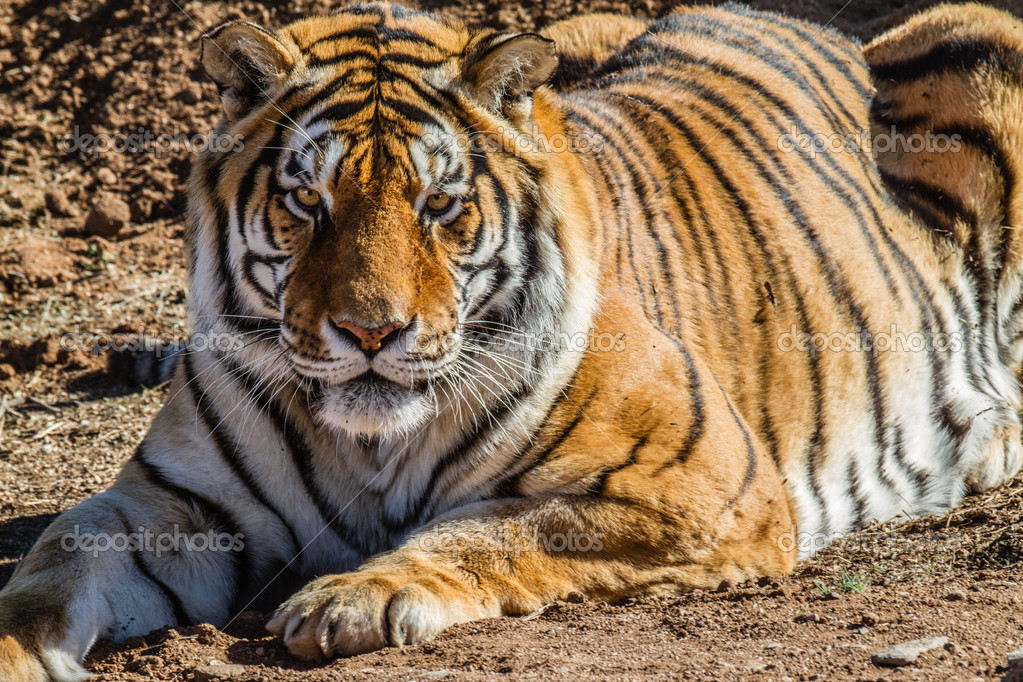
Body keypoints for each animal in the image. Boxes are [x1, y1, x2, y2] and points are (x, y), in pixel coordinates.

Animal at [3, 1, 1023, 679]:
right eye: (307, 200)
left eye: (438, 204)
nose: (370, 331)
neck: (369, 442)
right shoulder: (177, 503)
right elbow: (60, 556)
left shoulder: (700, 489)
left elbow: (493, 526)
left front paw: (354, 595)